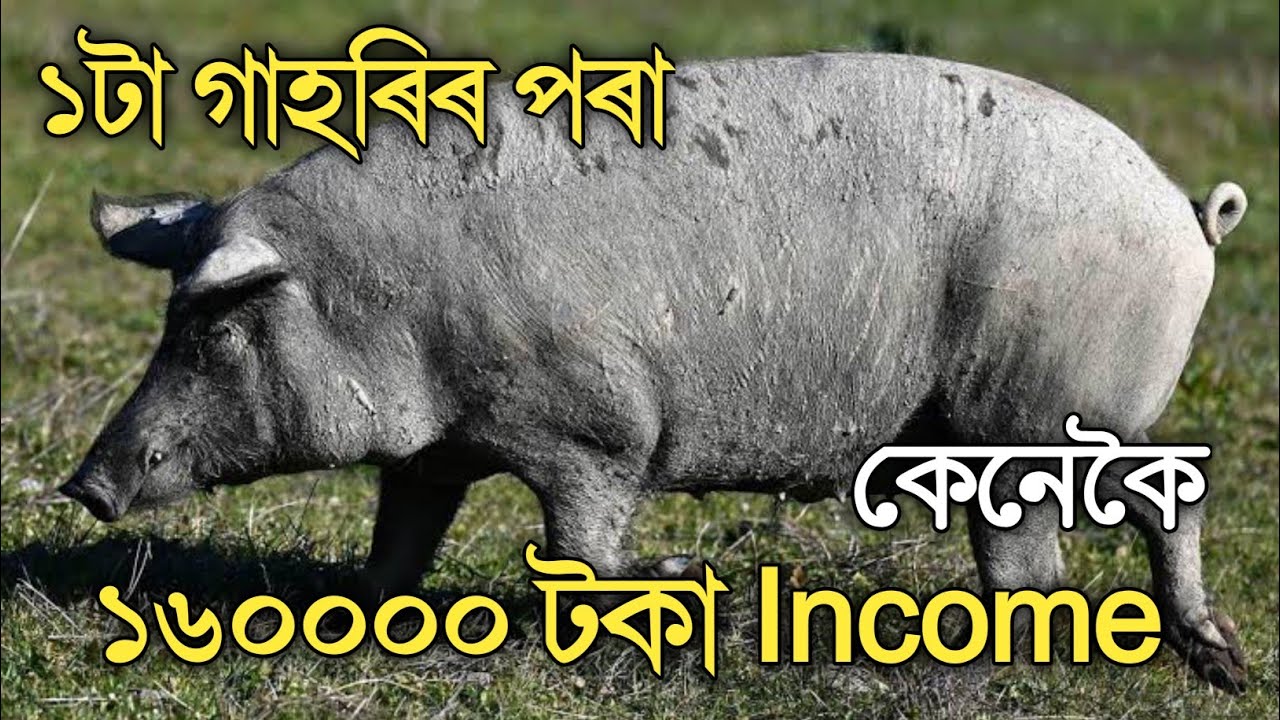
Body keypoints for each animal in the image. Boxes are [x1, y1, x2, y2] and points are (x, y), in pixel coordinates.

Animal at [60, 52, 1248, 689]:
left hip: (1039, 410)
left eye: (215, 330)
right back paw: (1207, 660)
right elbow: (399, 539)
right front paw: (361, 619)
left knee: (1054, 553)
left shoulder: (596, 425)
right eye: (170, 318)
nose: (82, 484)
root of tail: (1187, 212)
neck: (390, 295)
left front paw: (633, 616)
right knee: (1157, 506)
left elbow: (579, 549)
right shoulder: (434, 452)